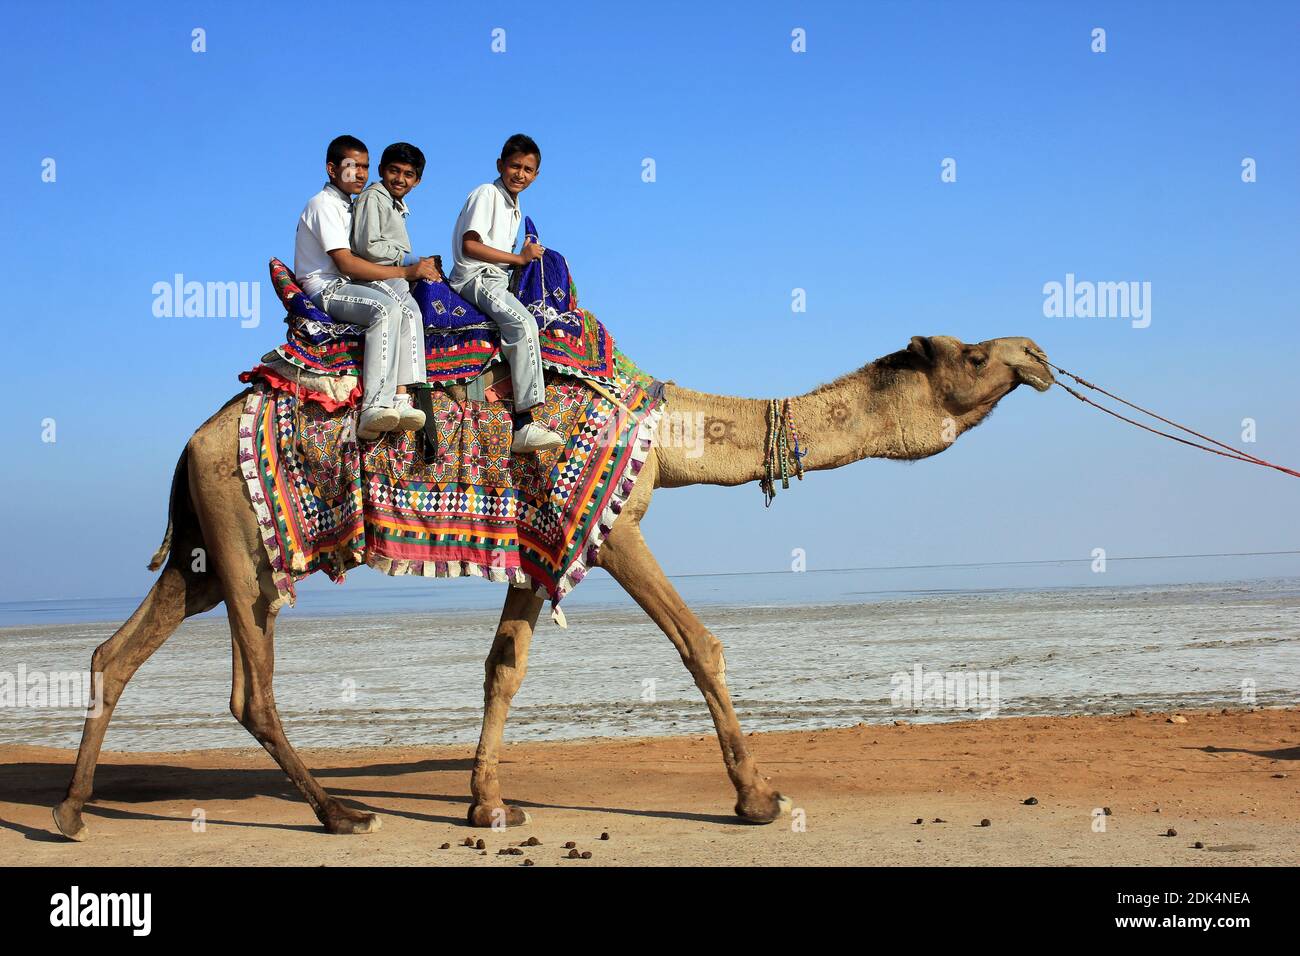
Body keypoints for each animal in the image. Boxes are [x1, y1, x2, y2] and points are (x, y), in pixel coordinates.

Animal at [50, 335, 1050, 837]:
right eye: (970, 356)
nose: (1037, 354)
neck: (668, 431)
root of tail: (191, 441)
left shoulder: (541, 539)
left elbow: (504, 667)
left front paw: (488, 805)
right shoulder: (612, 526)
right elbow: (700, 643)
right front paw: (758, 799)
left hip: (204, 553)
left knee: (114, 653)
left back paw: (68, 811)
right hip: (245, 546)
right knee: (249, 690)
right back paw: (341, 813)